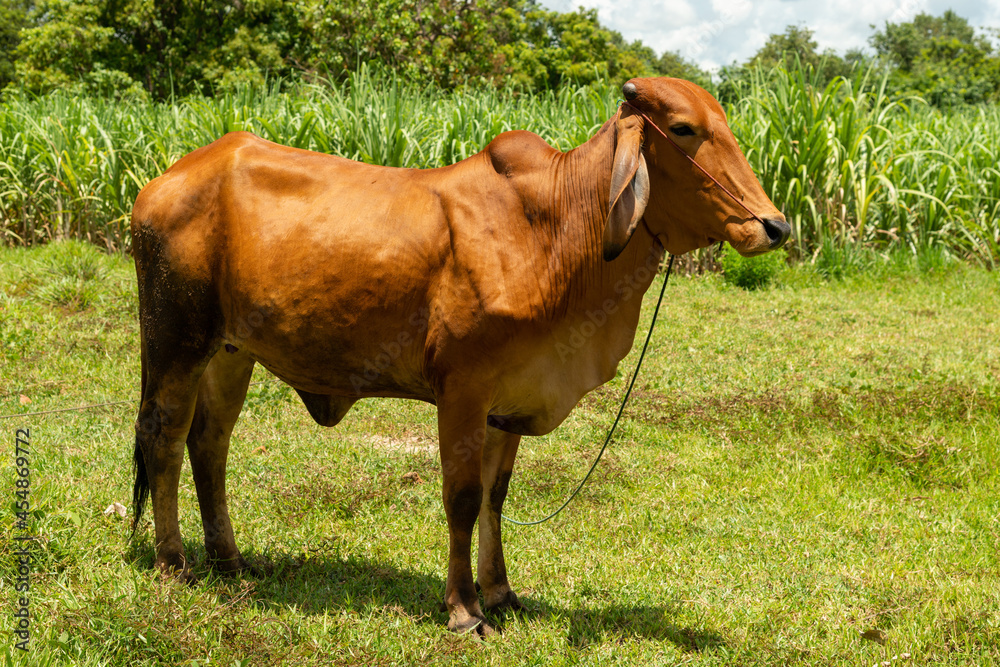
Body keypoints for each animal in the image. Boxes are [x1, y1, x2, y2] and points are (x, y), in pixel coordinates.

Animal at [130, 77, 789, 636]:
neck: (556, 227)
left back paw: (230, 561)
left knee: (210, 444)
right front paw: (465, 611)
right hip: (176, 339)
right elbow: (464, 497)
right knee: (164, 436)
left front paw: (500, 592)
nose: (775, 226)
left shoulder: (511, 398)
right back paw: (174, 562)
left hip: (230, 352)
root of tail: (167, 179)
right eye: (682, 128)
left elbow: (497, 496)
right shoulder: (463, 389)